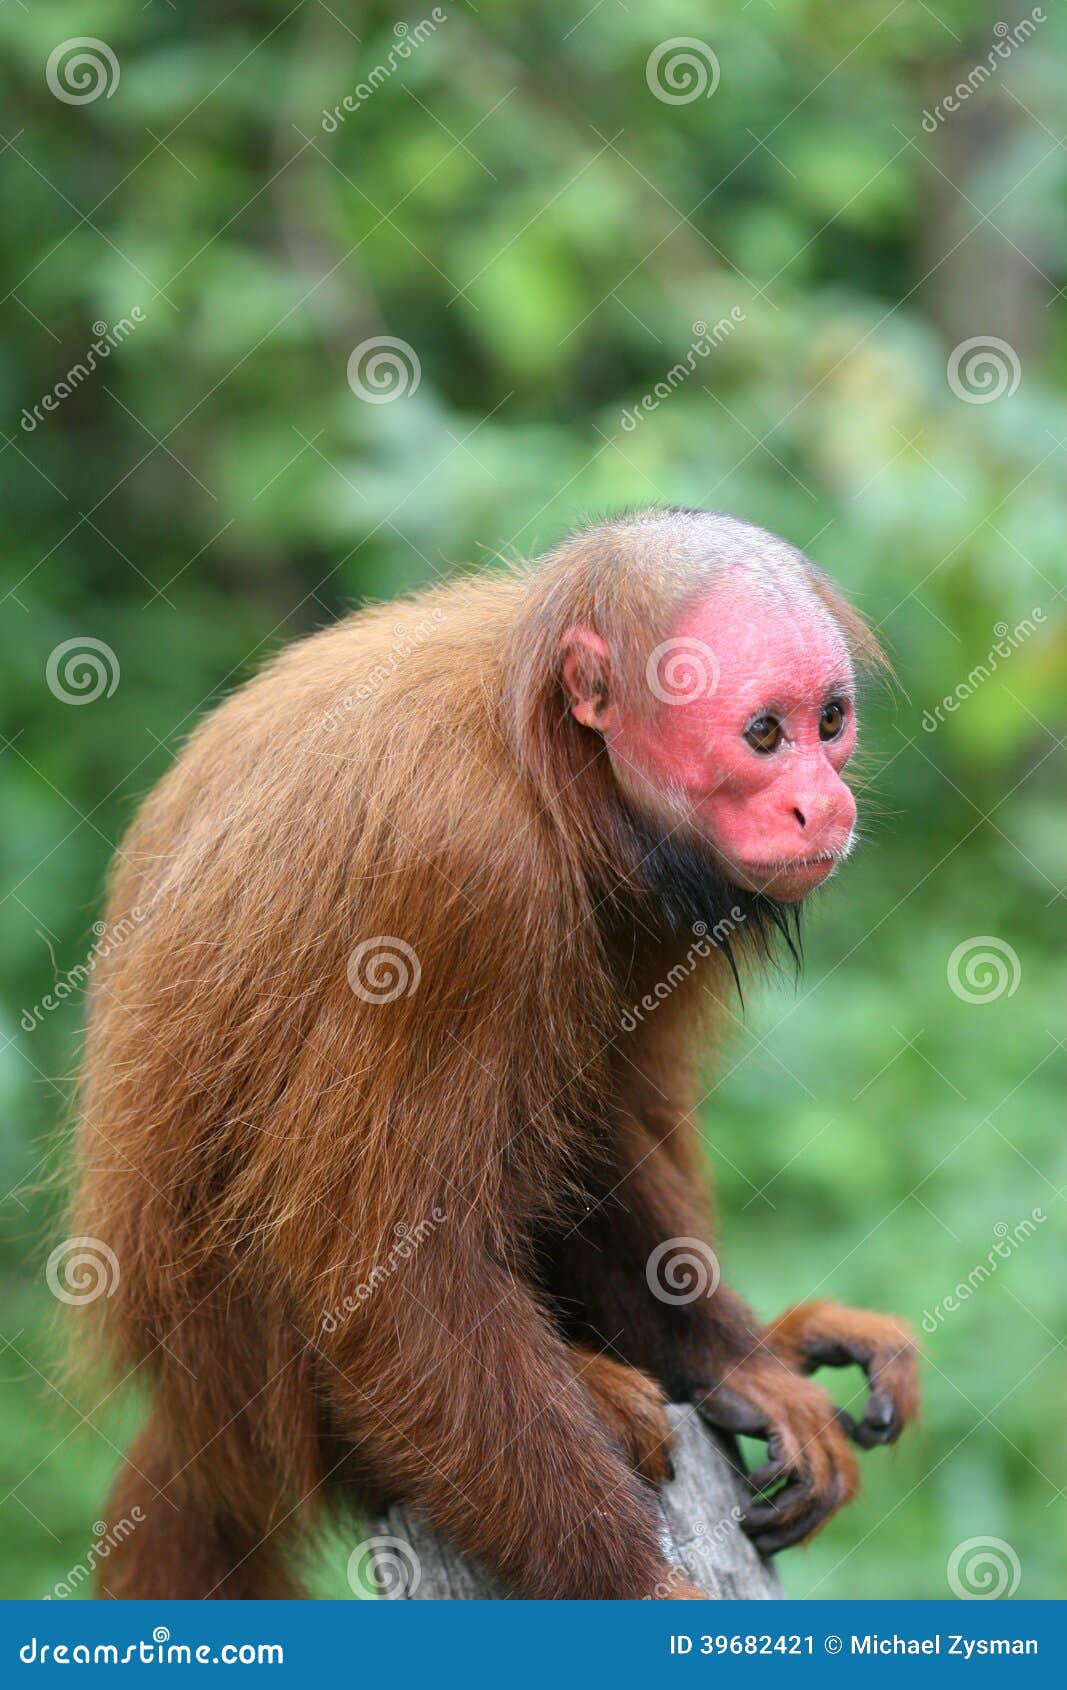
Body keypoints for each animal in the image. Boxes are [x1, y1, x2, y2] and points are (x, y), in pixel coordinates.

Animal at [71, 507, 918, 1601]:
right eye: (763, 734)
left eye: (830, 721)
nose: (821, 803)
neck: (549, 767)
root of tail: (192, 1421)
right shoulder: (451, 879)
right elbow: (391, 1274)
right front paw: (639, 1589)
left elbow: (596, 1116)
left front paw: (737, 1366)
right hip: (263, 1397)